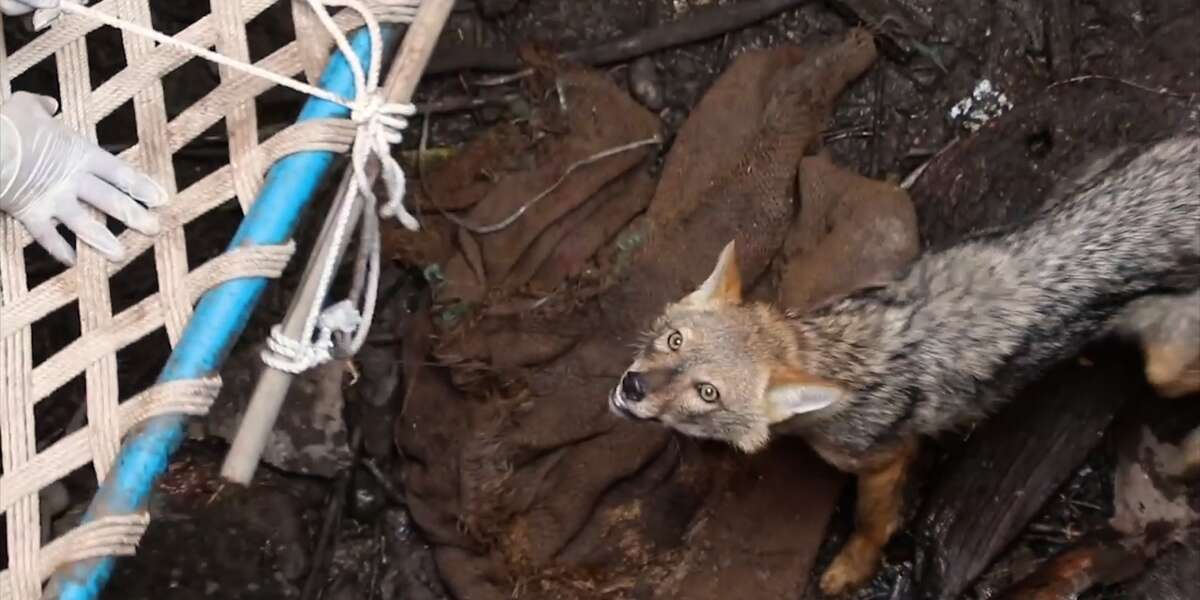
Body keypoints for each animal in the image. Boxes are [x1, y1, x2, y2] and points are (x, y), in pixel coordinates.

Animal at [608, 134, 1200, 596]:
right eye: (673, 341)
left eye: (708, 392)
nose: (632, 386)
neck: (832, 351)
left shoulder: (886, 460)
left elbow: (872, 523)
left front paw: (852, 567)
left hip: (1164, 369)